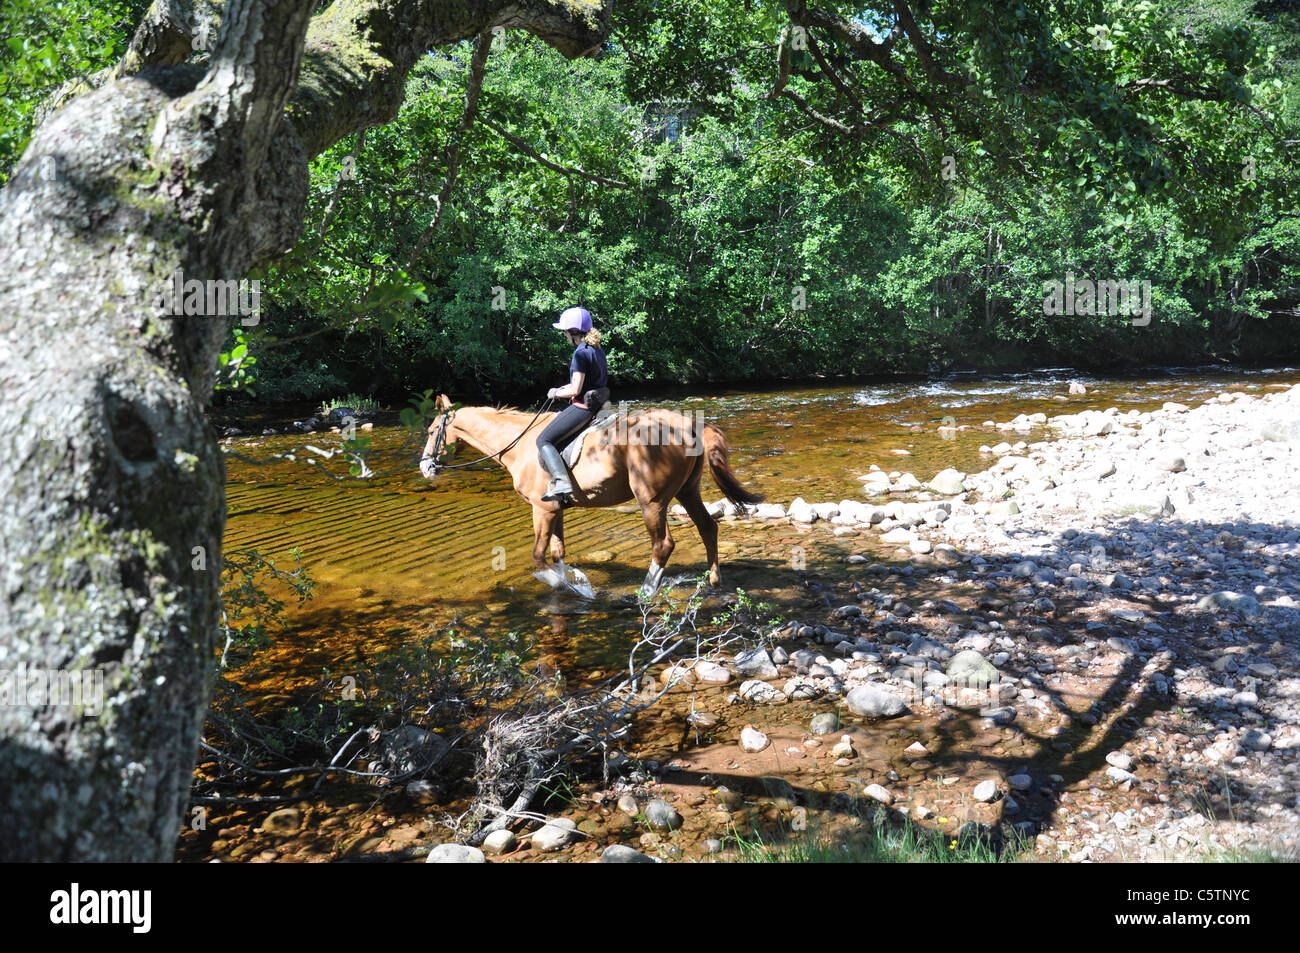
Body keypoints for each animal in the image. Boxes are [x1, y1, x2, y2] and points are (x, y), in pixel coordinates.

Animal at [419, 394, 764, 594]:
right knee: (708, 527)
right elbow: (557, 553)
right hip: (687, 491)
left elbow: (539, 556)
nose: (425, 466)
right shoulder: (555, 509)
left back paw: (646, 592)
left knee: (663, 544)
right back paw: (714, 581)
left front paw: (565, 585)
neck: (518, 444)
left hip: (651, 501)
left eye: (432, 431)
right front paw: (570, 583)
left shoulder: (541, 510)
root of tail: (690, 426)